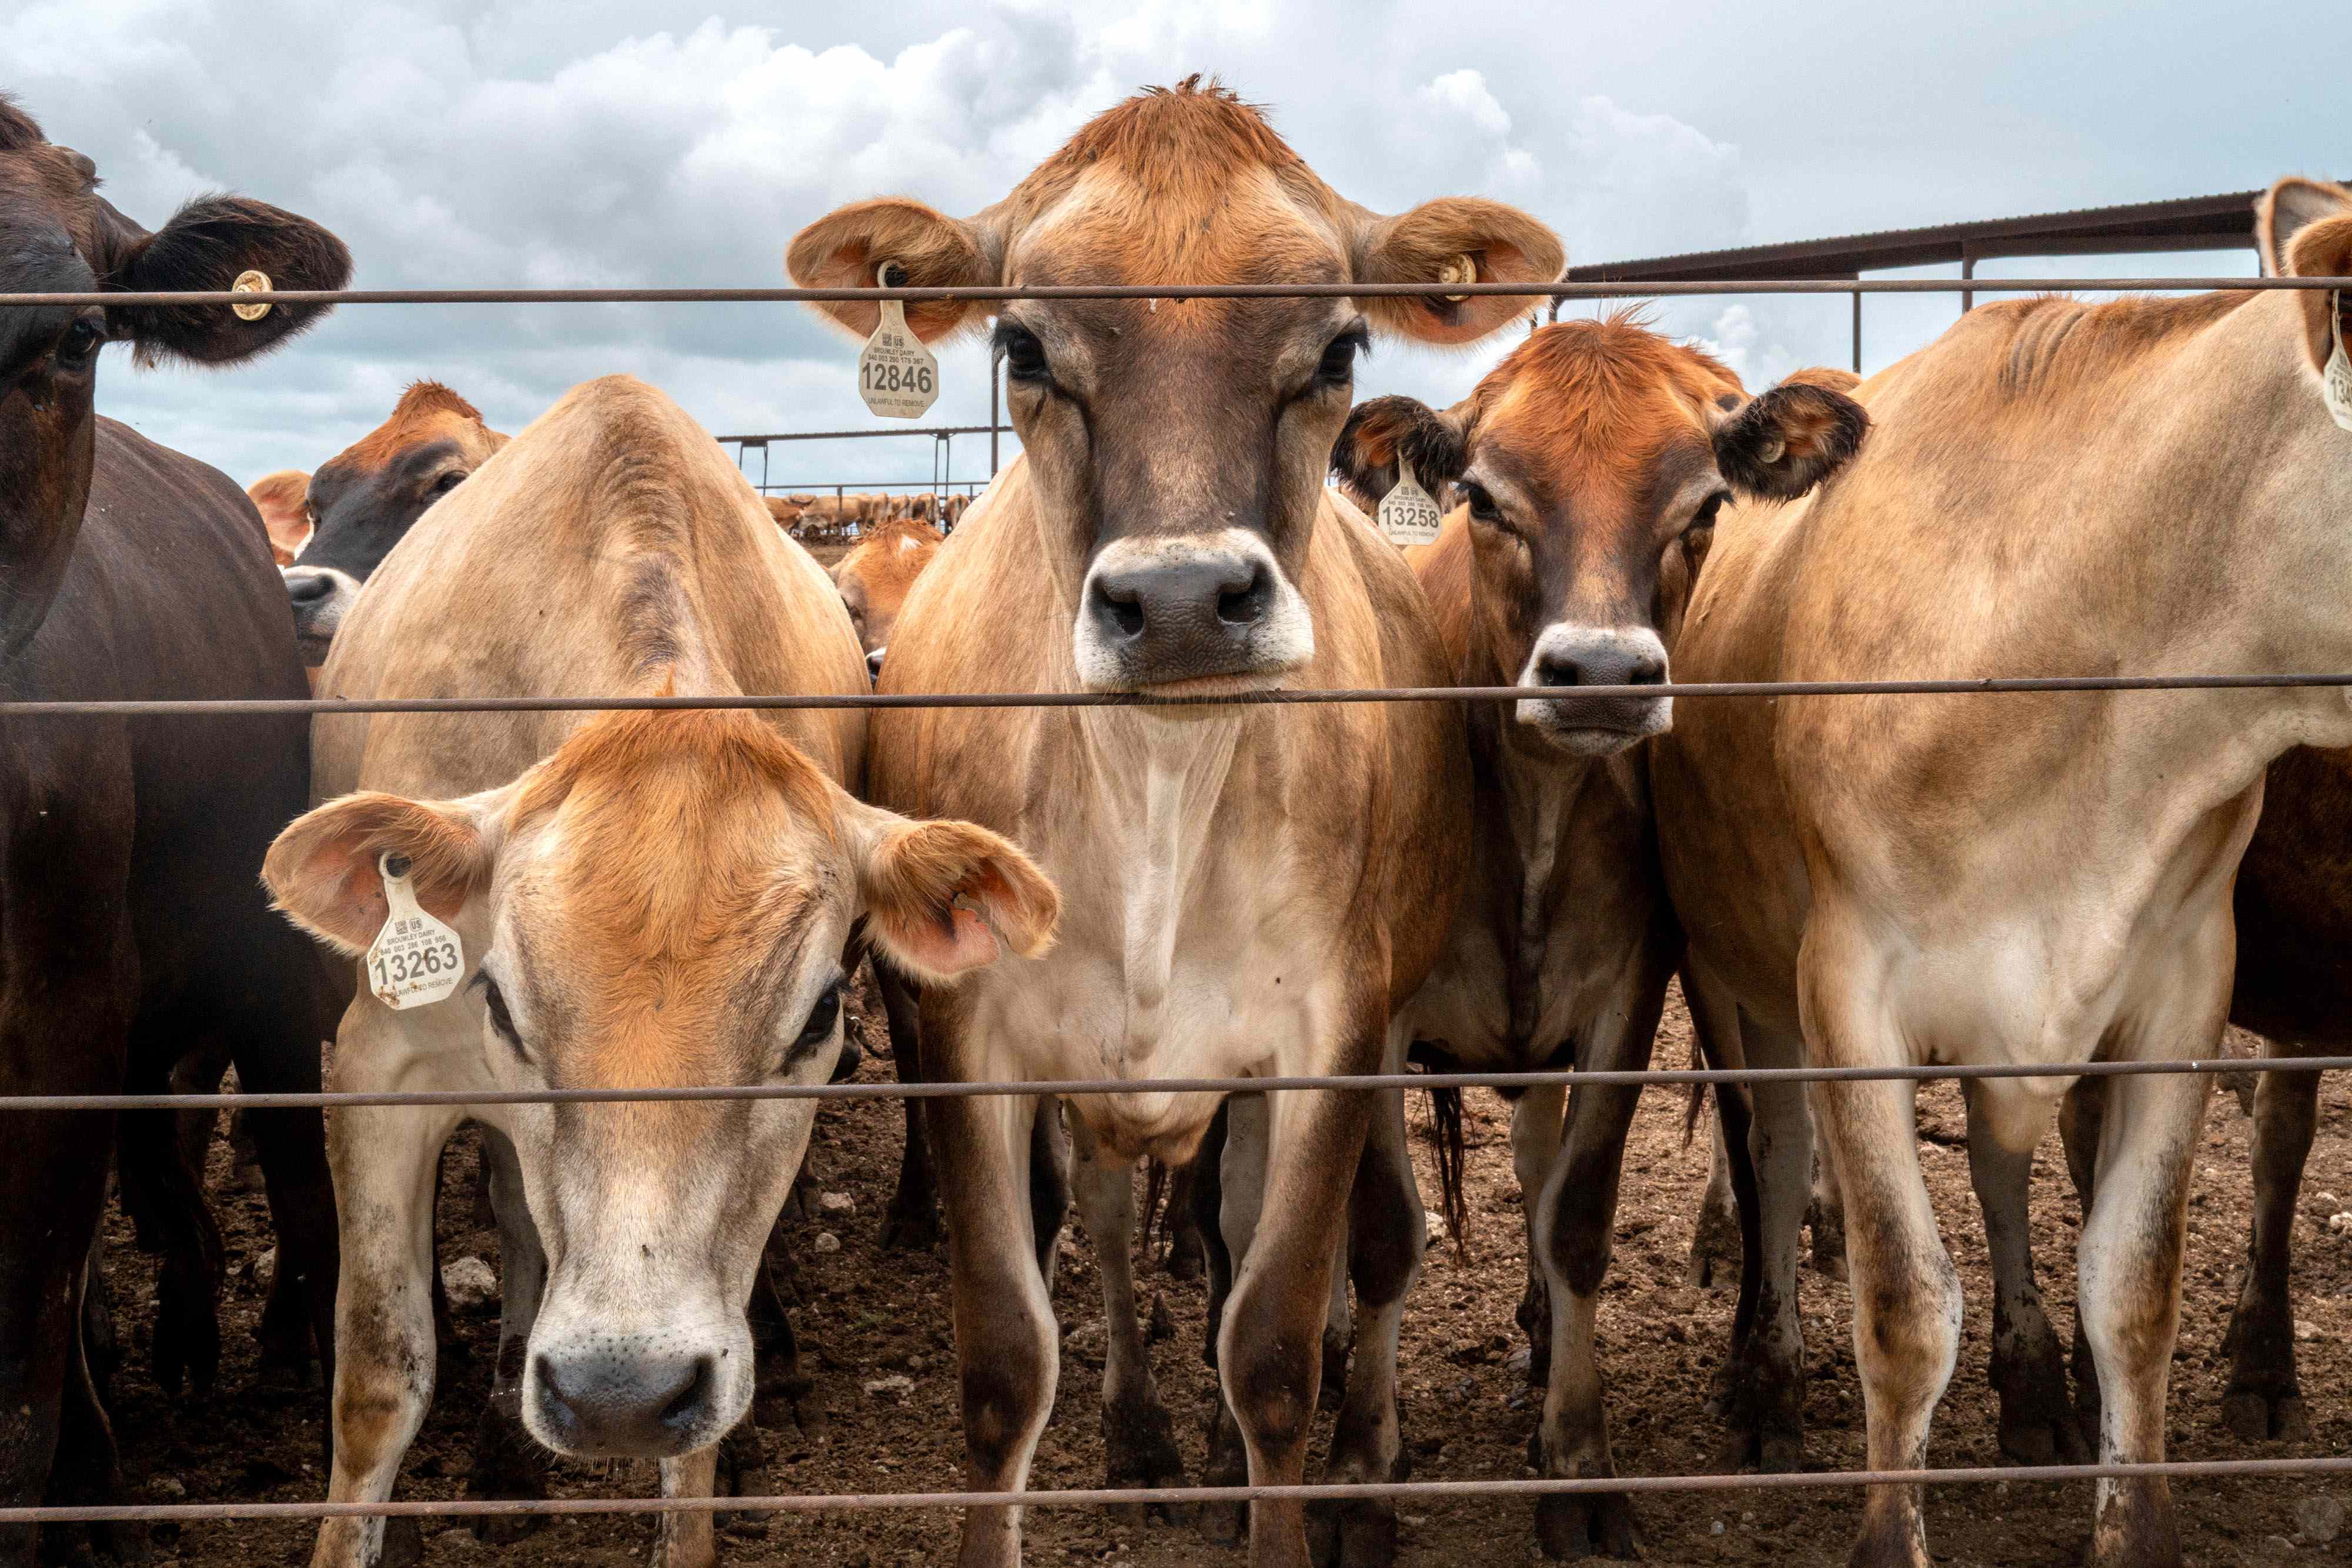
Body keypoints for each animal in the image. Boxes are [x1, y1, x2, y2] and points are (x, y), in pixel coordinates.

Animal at [788, 76, 1560, 1567]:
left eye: (1336, 348)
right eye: (1023, 344)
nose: (1189, 601)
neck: (1154, 797)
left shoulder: (1324, 1043)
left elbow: (1271, 1348)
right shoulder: (969, 1042)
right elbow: (1002, 1366)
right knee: (1100, 1219)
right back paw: (1142, 1428)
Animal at [1328, 314, 1868, 1558]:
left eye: (1705, 505)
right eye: (1484, 498)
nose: (1604, 674)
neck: (1532, 807)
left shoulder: (1628, 992)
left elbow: (1577, 1216)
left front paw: (1577, 1462)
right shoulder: (1373, 1012)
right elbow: (1382, 1231)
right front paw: (1364, 1476)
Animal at [1649, 177, 2352, 1567]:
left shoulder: (2180, 979)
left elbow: (2132, 1284)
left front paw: (2131, 1525)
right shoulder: (1845, 984)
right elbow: (1902, 1299)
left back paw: (2032, 1393)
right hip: (1726, 965)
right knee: (1773, 1153)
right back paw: (1766, 1382)